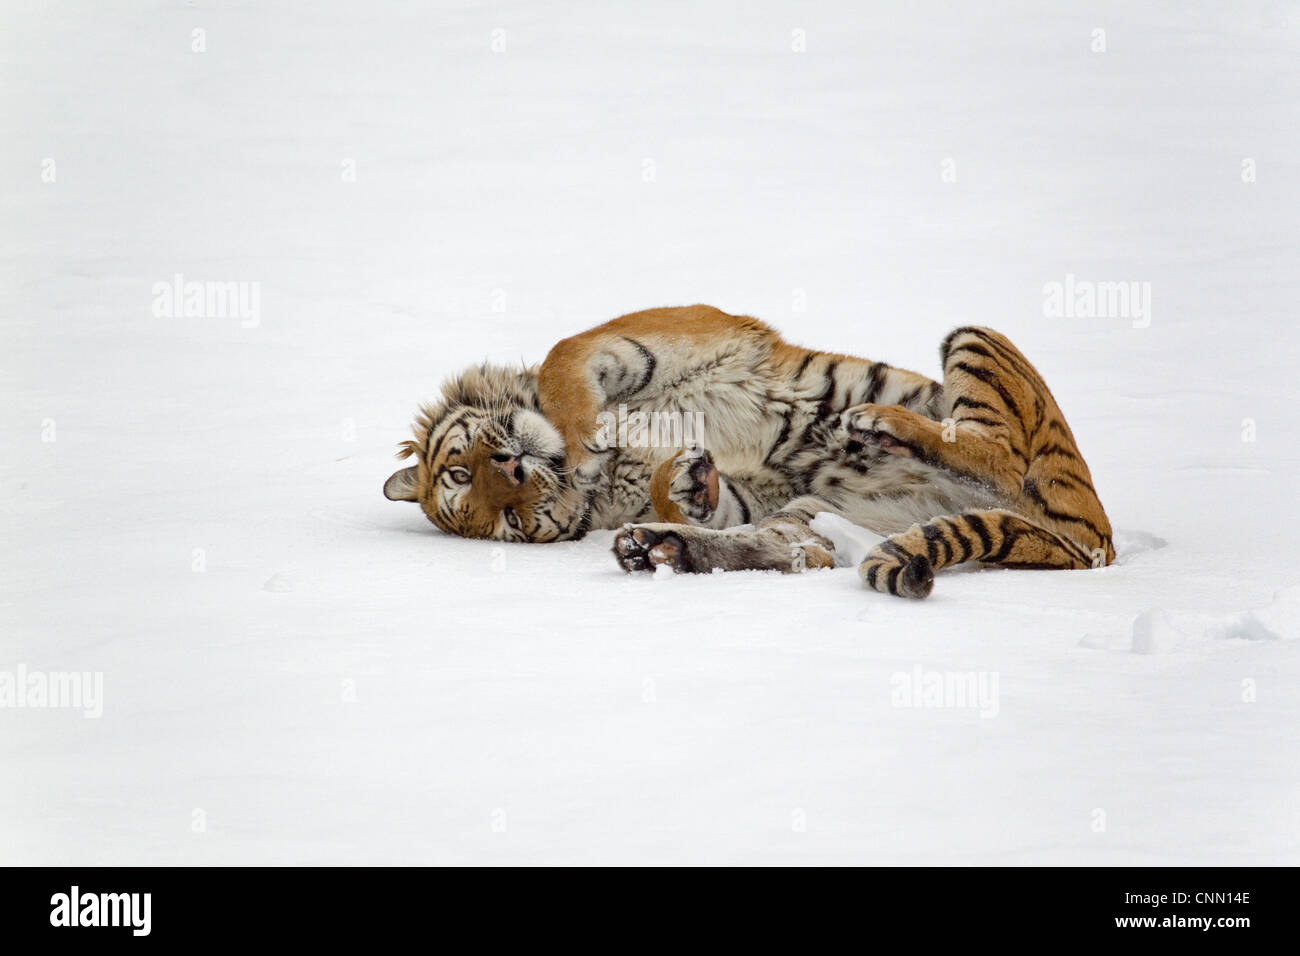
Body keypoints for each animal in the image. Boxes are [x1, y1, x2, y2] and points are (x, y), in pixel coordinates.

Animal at [384, 304, 1115, 597]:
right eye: (508, 517)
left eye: (463, 468)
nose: (511, 467)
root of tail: (1093, 543)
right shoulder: (754, 493)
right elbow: (710, 496)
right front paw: (683, 489)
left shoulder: (633, 337)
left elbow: (566, 362)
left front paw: (585, 440)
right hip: (822, 510)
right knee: (795, 550)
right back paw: (659, 549)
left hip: (974, 339)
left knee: (1003, 455)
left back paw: (877, 420)